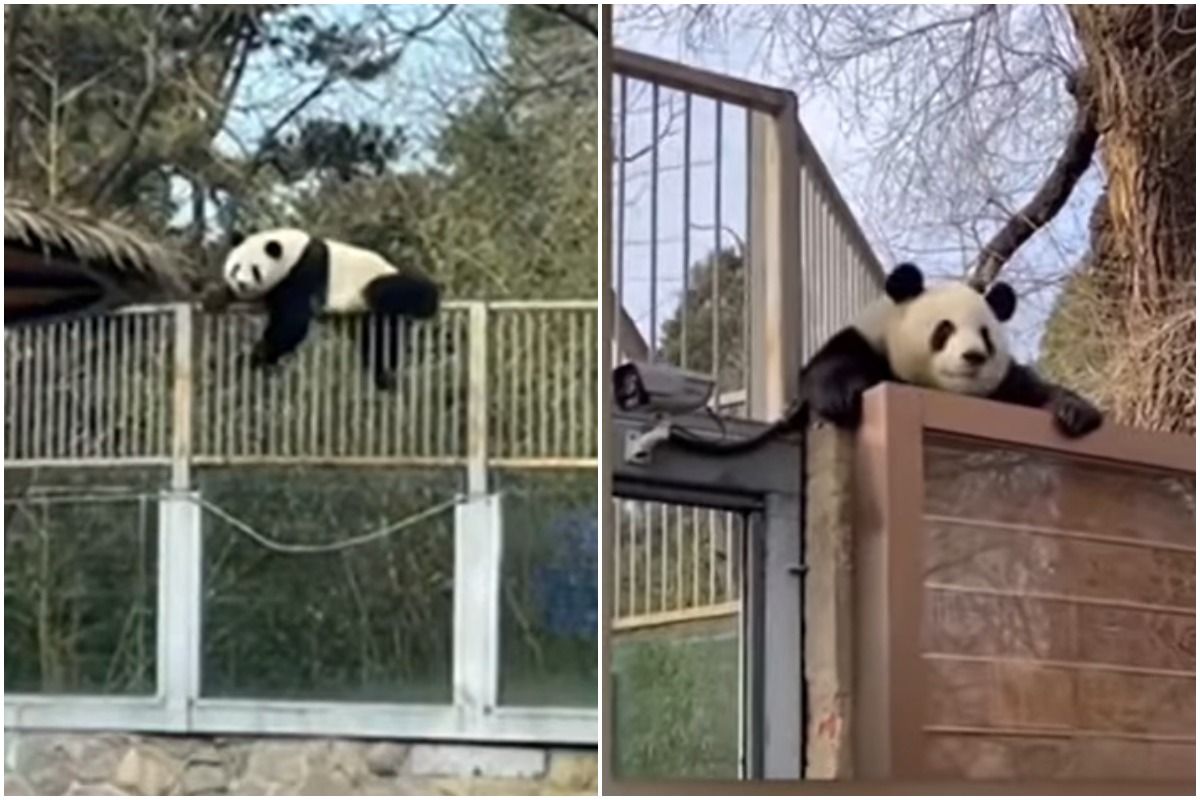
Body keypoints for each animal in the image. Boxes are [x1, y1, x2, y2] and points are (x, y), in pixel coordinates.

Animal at [204, 228, 440, 390]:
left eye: (255, 270)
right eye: (235, 268)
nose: (241, 284)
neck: (295, 250)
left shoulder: (305, 271)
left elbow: (292, 322)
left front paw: (253, 356)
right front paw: (215, 297)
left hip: (377, 284)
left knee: (397, 297)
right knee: (376, 344)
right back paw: (383, 378)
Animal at [668, 262, 1102, 453]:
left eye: (986, 336)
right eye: (944, 330)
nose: (974, 356)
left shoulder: (1002, 387)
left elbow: (1028, 389)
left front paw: (1075, 411)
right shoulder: (867, 343)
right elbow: (830, 368)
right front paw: (840, 398)